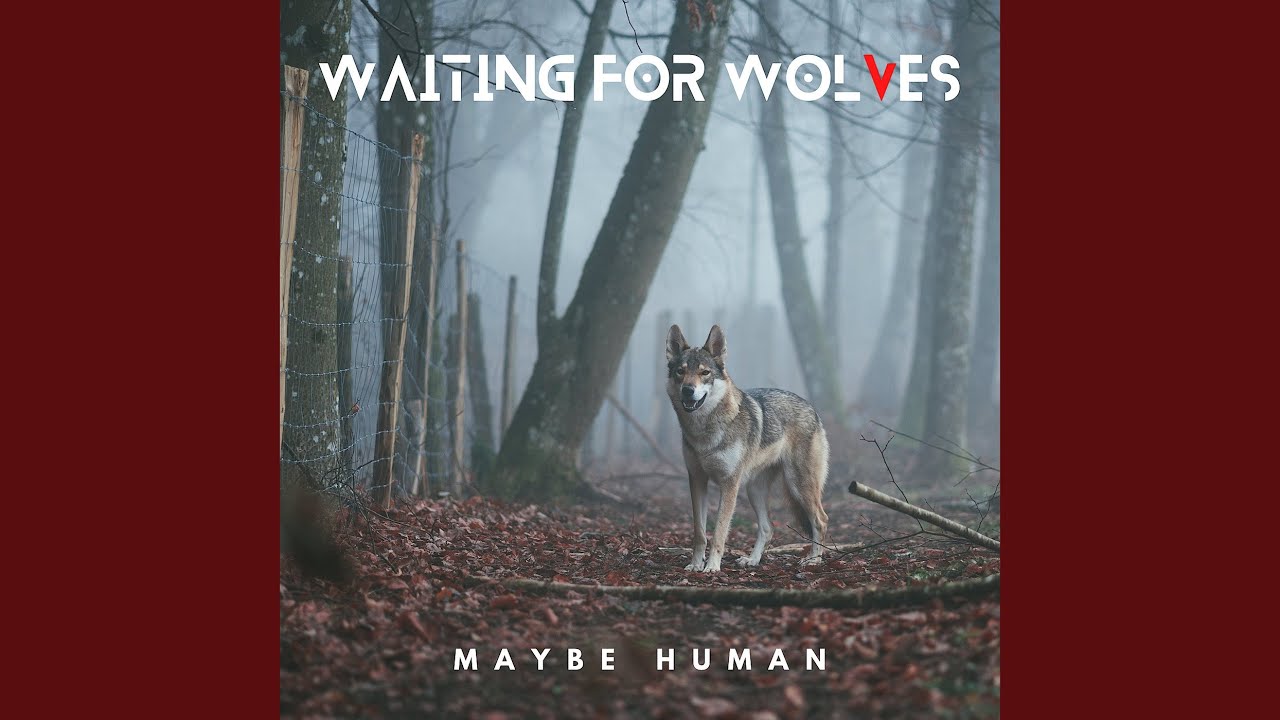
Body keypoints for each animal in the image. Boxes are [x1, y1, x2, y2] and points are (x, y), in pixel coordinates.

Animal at [665, 324, 829, 573]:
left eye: (705, 373)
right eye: (680, 372)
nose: (687, 390)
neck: (704, 431)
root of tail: (812, 408)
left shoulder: (729, 484)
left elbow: (719, 532)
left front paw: (711, 567)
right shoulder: (697, 480)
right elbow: (700, 533)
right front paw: (695, 565)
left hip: (798, 485)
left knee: (820, 520)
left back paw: (813, 559)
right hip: (755, 490)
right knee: (768, 528)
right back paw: (752, 560)